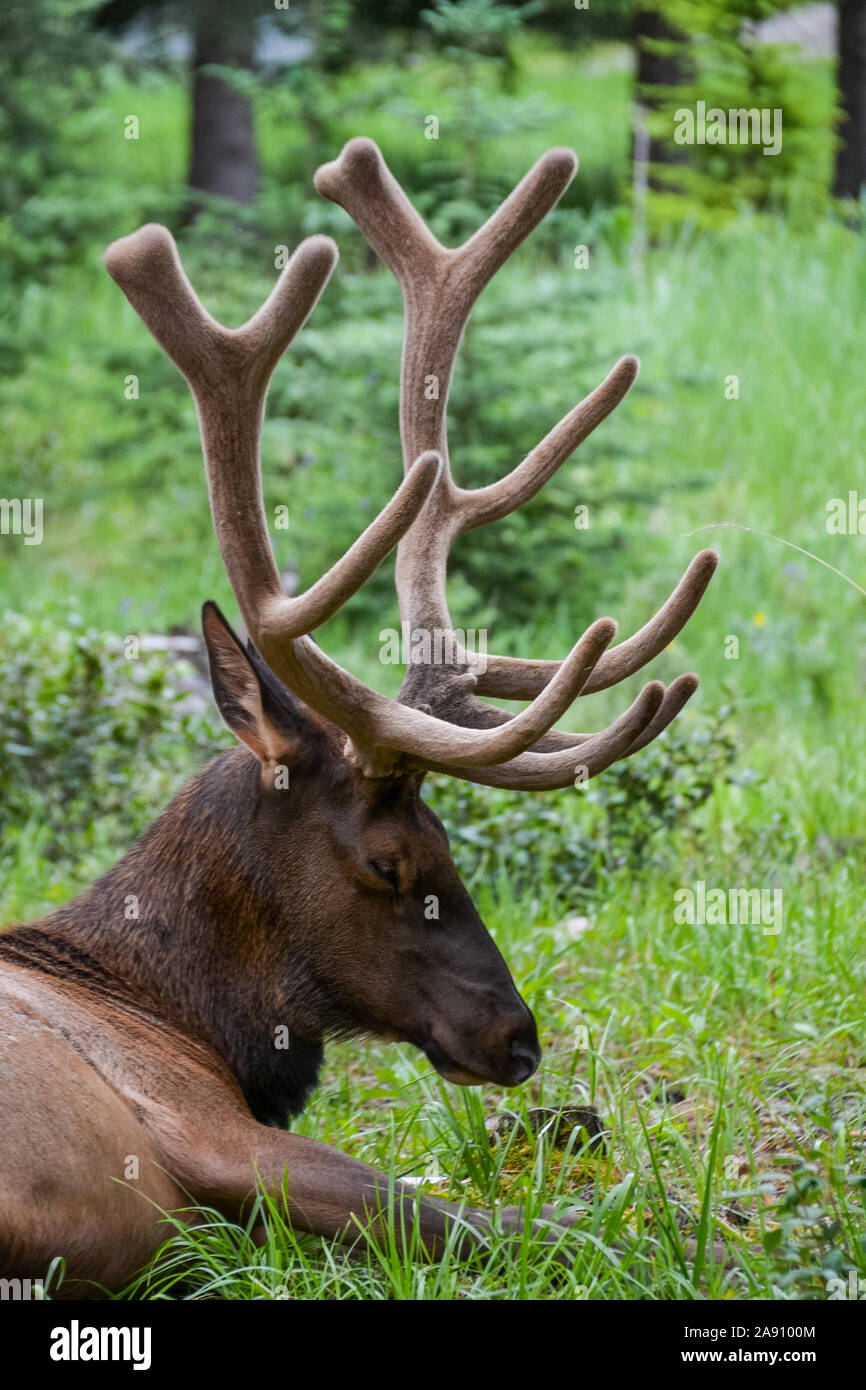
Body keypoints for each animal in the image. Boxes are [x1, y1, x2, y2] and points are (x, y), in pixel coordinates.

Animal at [0, 139, 717, 1297]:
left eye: (448, 839)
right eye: (390, 861)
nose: (517, 1038)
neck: (175, 1007)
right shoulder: (203, 1126)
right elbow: (487, 1223)